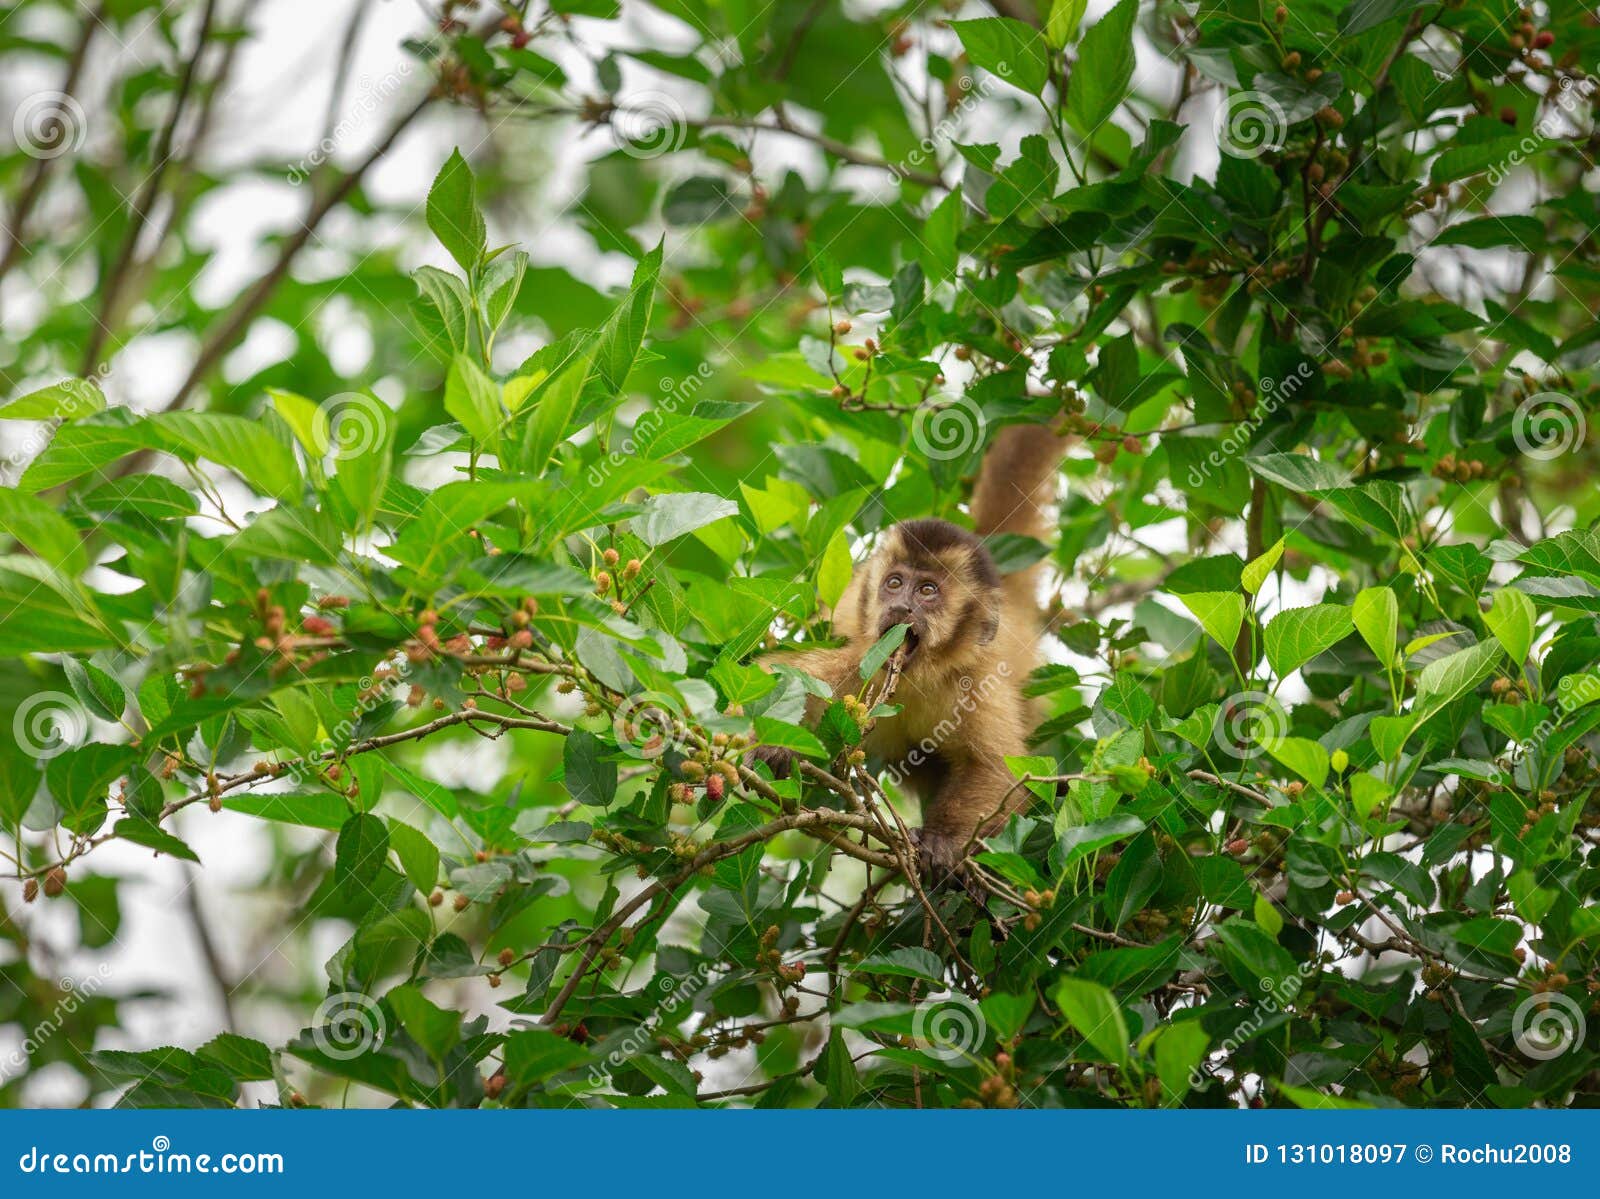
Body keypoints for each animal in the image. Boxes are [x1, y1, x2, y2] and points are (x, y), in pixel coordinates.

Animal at [753, 423, 1069, 876]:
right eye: (895, 583)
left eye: (928, 591)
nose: (901, 606)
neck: (913, 678)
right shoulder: (863, 660)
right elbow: (775, 679)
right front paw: (772, 745)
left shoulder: (976, 681)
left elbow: (995, 769)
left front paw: (943, 841)